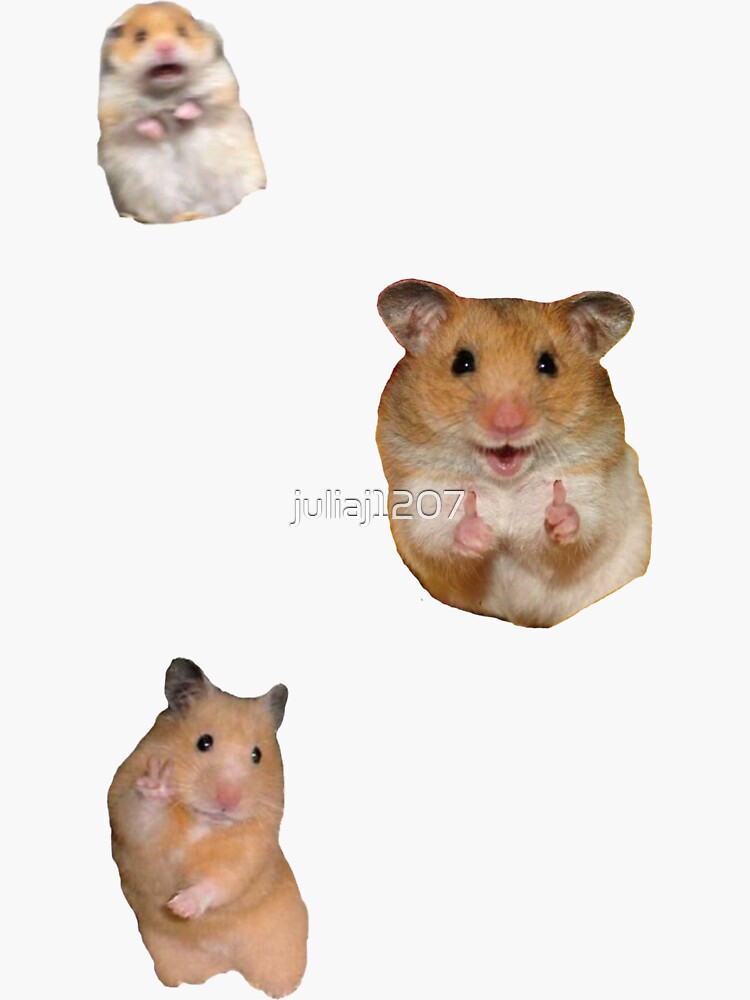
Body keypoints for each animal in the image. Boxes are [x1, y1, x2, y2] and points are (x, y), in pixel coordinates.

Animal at [98, 3, 266, 223]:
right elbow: (140, 122)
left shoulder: (222, 88)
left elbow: (197, 105)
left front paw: (179, 115)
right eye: (140, 36)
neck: (166, 92)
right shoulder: (112, 111)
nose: (165, 47)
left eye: (182, 32)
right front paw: (159, 131)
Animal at [108, 659, 307, 996]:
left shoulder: (250, 852)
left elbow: (220, 880)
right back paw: (190, 982)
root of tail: (227, 963)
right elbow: (143, 816)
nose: (228, 800)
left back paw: (282, 989)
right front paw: (158, 783)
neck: (204, 822)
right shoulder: (127, 817)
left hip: (285, 940)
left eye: (257, 755)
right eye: (204, 742)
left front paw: (180, 908)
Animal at [376, 280, 651, 628]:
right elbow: (439, 536)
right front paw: (479, 534)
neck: (505, 482)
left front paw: (558, 515)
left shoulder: (593, 489)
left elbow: (584, 525)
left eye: (548, 364)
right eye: (461, 362)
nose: (508, 423)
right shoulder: (422, 498)